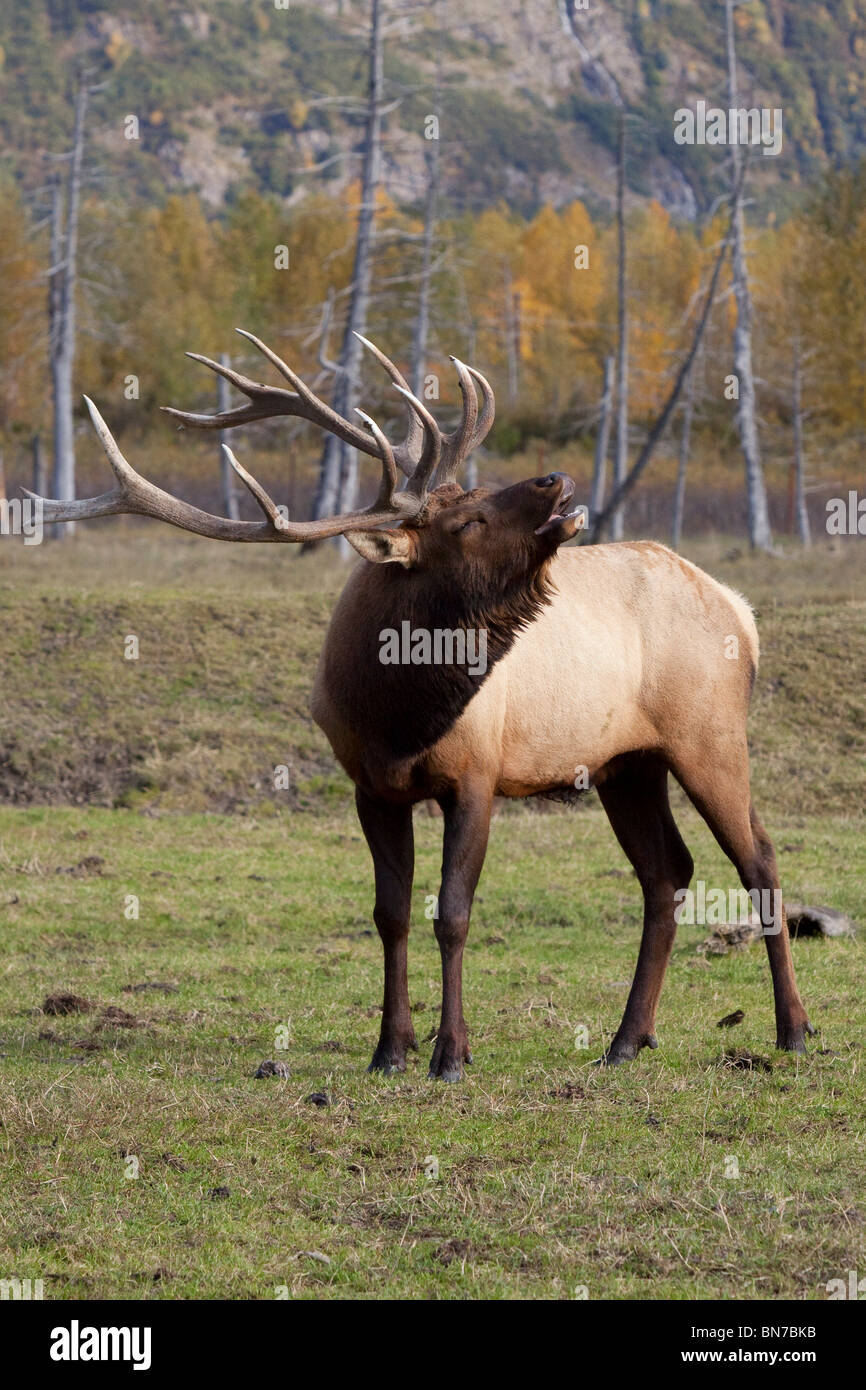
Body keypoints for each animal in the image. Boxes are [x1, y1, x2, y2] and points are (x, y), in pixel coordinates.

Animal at [29, 329, 813, 1081]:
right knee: (667, 874)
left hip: (709, 738)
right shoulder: (370, 787)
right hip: (628, 763)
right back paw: (627, 1041)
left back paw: (794, 1031)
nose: (554, 477)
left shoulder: (477, 777)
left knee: (760, 859)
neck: (395, 716)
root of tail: (741, 611)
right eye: (465, 518)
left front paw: (452, 1055)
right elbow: (392, 915)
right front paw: (390, 1050)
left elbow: (453, 914)